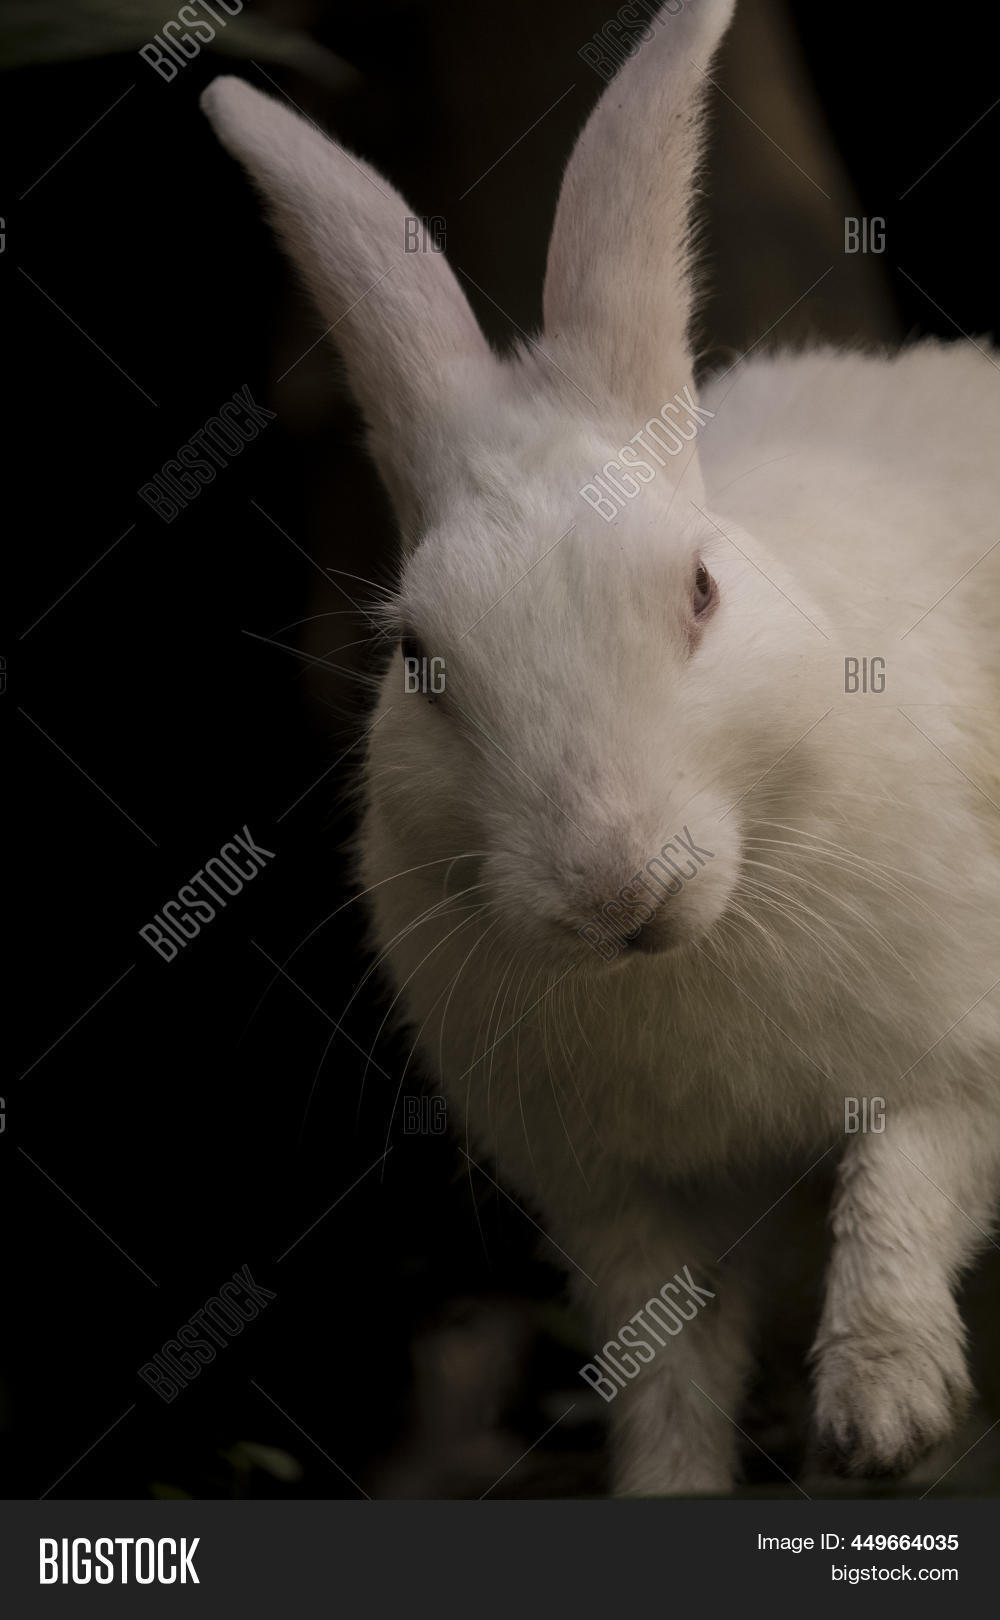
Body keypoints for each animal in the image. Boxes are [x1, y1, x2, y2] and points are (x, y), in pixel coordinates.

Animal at [202, 0, 1000, 1496]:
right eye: (418, 659)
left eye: (698, 592)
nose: (615, 886)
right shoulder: (618, 1203)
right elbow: (662, 1362)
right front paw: (670, 1491)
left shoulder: (951, 1051)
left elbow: (904, 1193)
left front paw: (882, 1414)